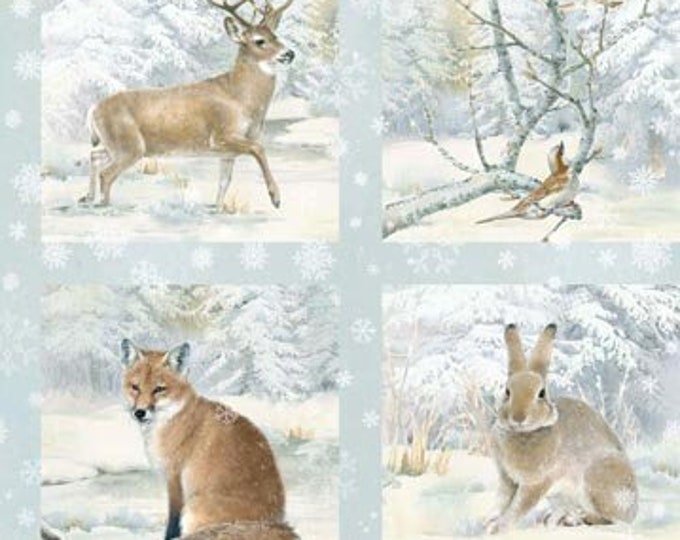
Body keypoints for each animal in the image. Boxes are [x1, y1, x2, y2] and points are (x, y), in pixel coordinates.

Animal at [80, 0, 295, 211]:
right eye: (259, 41)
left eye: (276, 36)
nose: (290, 53)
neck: (240, 98)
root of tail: (93, 109)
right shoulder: (221, 134)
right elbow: (259, 148)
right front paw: (275, 197)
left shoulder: (227, 152)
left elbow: (224, 182)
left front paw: (217, 209)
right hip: (130, 145)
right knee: (106, 173)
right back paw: (102, 203)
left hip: (114, 144)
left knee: (94, 155)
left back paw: (87, 197)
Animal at [120, 339, 299, 540]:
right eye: (135, 387)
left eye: (159, 389)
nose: (139, 412)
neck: (173, 417)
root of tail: (272, 522)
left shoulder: (174, 477)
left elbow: (173, 520)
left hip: (193, 509)